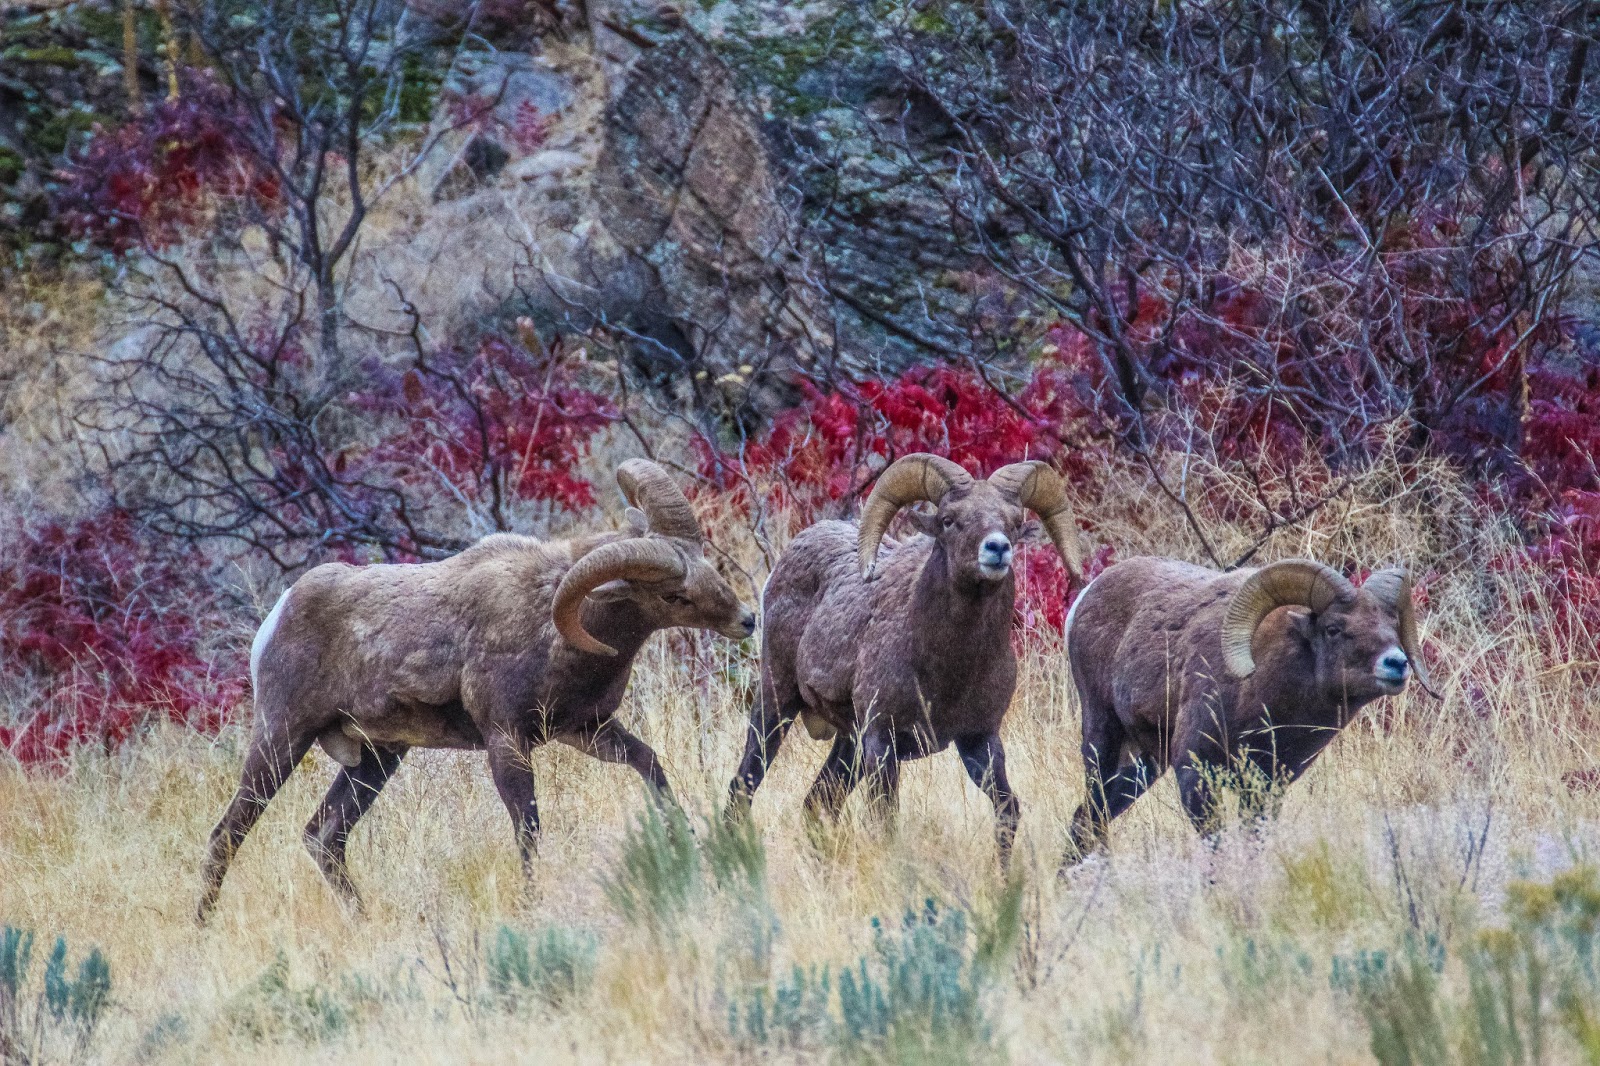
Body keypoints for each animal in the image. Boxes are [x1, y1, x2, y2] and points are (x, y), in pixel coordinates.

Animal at [197, 460, 756, 920]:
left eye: (705, 563)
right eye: (674, 595)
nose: (748, 620)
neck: (553, 631)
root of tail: (276, 618)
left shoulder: (588, 730)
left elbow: (651, 766)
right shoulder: (507, 741)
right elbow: (527, 829)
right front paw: (532, 907)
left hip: (376, 759)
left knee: (324, 837)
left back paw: (365, 920)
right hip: (282, 741)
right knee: (227, 835)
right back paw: (203, 929)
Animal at [725, 452, 1084, 865]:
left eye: (1013, 521)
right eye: (949, 520)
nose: (997, 549)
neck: (949, 670)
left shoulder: (980, 741)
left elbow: (1007, 810)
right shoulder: (883, 743)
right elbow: (886, 824)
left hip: (849, 743)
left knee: (818, 802)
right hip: (777, 703)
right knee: (744, 786)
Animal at [1063, 556, 1435, 857]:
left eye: (1392, 627)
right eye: (1333, 628)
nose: (1396, 664)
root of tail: (1084, 599)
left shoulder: (1265, 790)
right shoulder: (1196, 773)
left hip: (1143, 766)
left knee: (1087, 819)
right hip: (1102, 740)